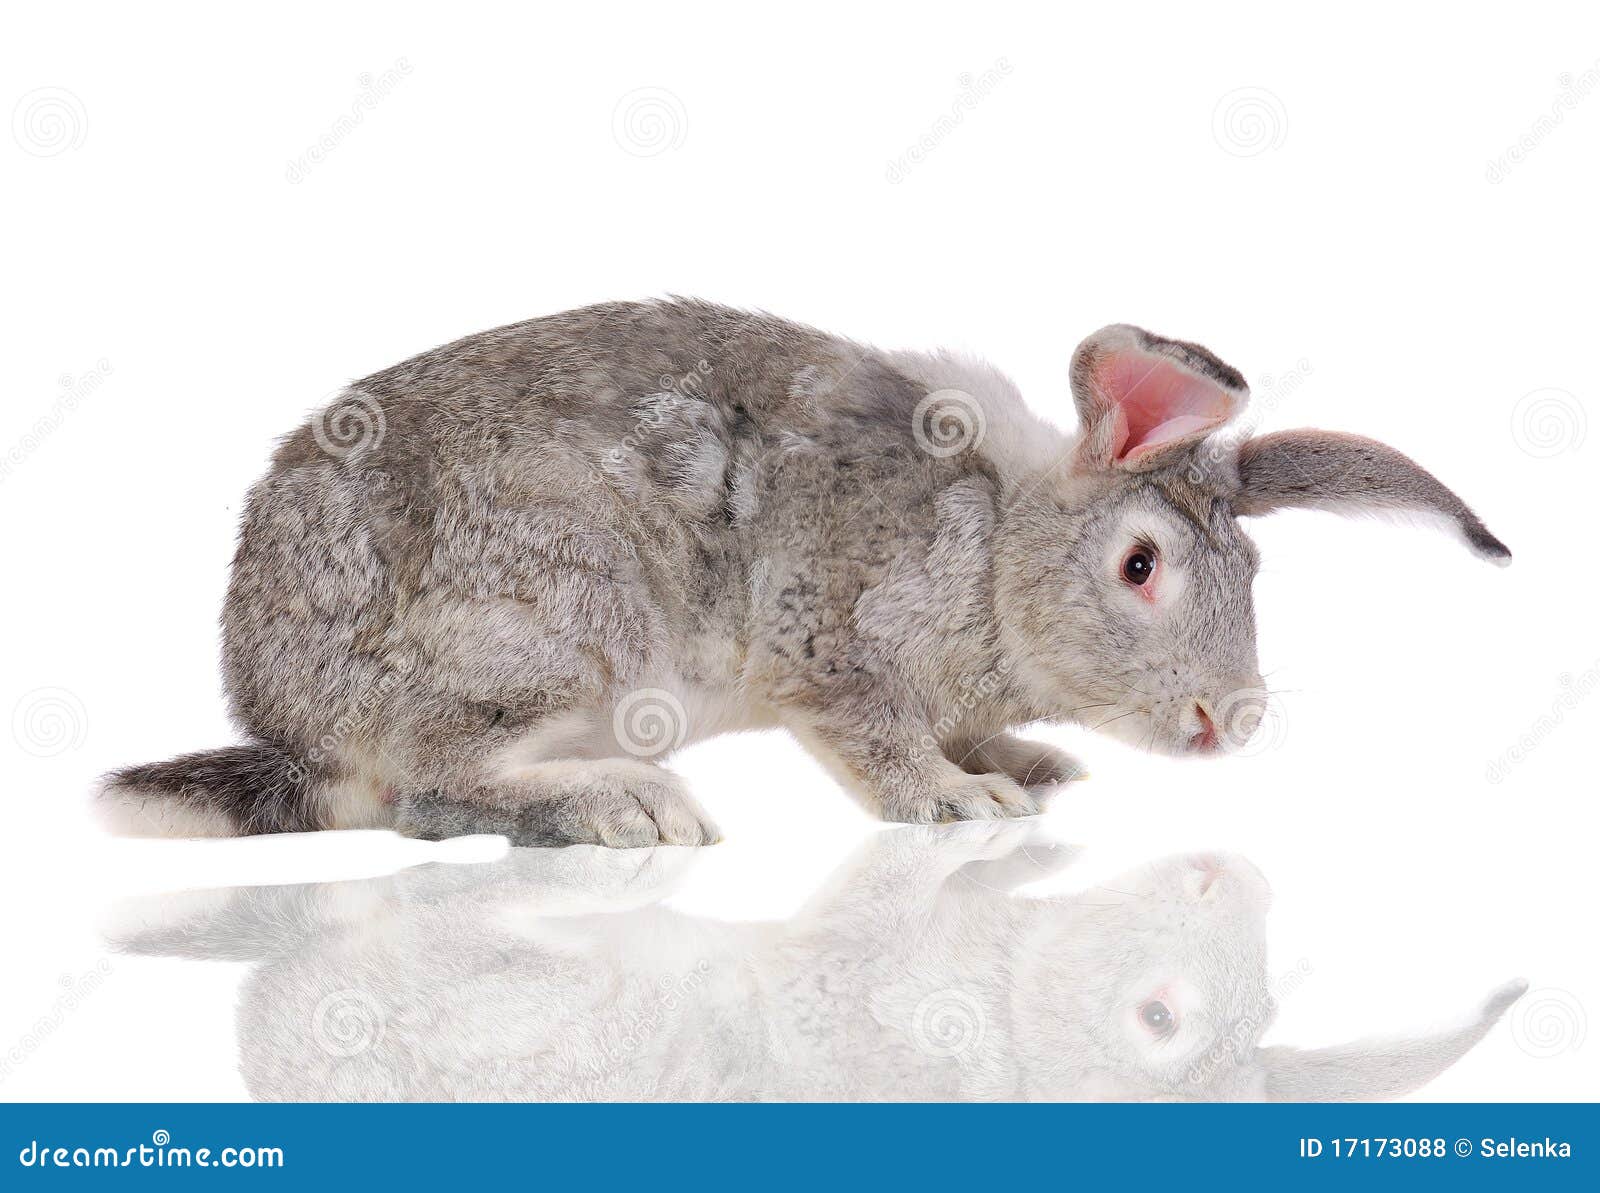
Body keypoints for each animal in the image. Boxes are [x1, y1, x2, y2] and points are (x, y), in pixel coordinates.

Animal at [97, 299, 1511, 846]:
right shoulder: (832, 647)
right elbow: (876, 736)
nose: (1233, 718)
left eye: (1255, 565)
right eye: (1140, 564)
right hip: (562, 617)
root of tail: (299, 732)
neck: (997, 547)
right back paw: (627, 806)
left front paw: (1029, 767)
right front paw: (966, 802)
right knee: (434, 785)